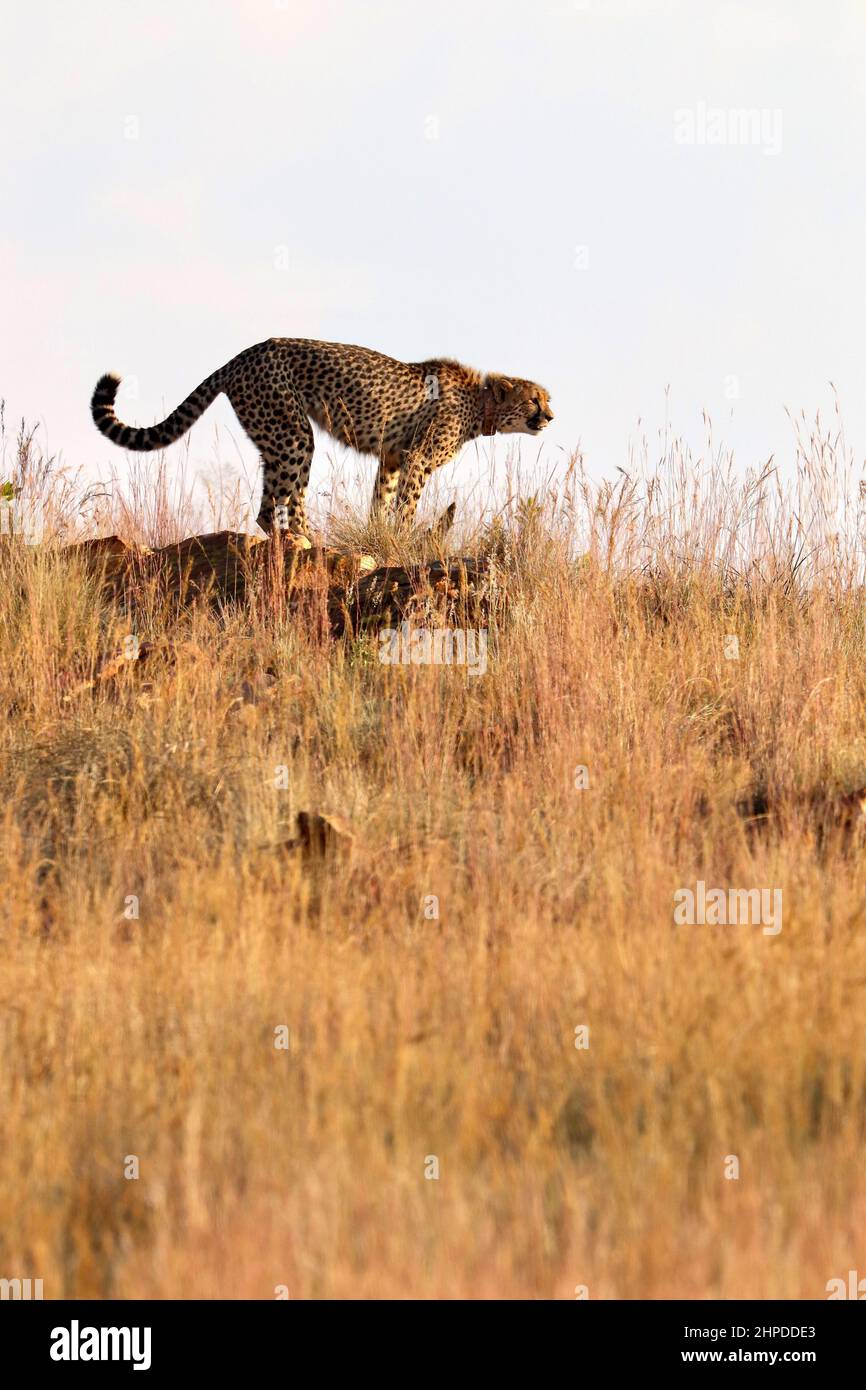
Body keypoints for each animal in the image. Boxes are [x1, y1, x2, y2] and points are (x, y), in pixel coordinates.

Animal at [90, 338, 553, 540]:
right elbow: (406, 507)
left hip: (276, 435)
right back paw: (307, 540)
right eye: (534, 399)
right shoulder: (418, 459)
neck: (482, 404)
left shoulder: (392, 458)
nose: (550, 416)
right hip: (293, 433)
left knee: (267, 506)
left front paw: (379, 534)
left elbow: (381, 501)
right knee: (283, 501)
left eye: (546, 399)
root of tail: (244, 353)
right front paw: (402, 539)